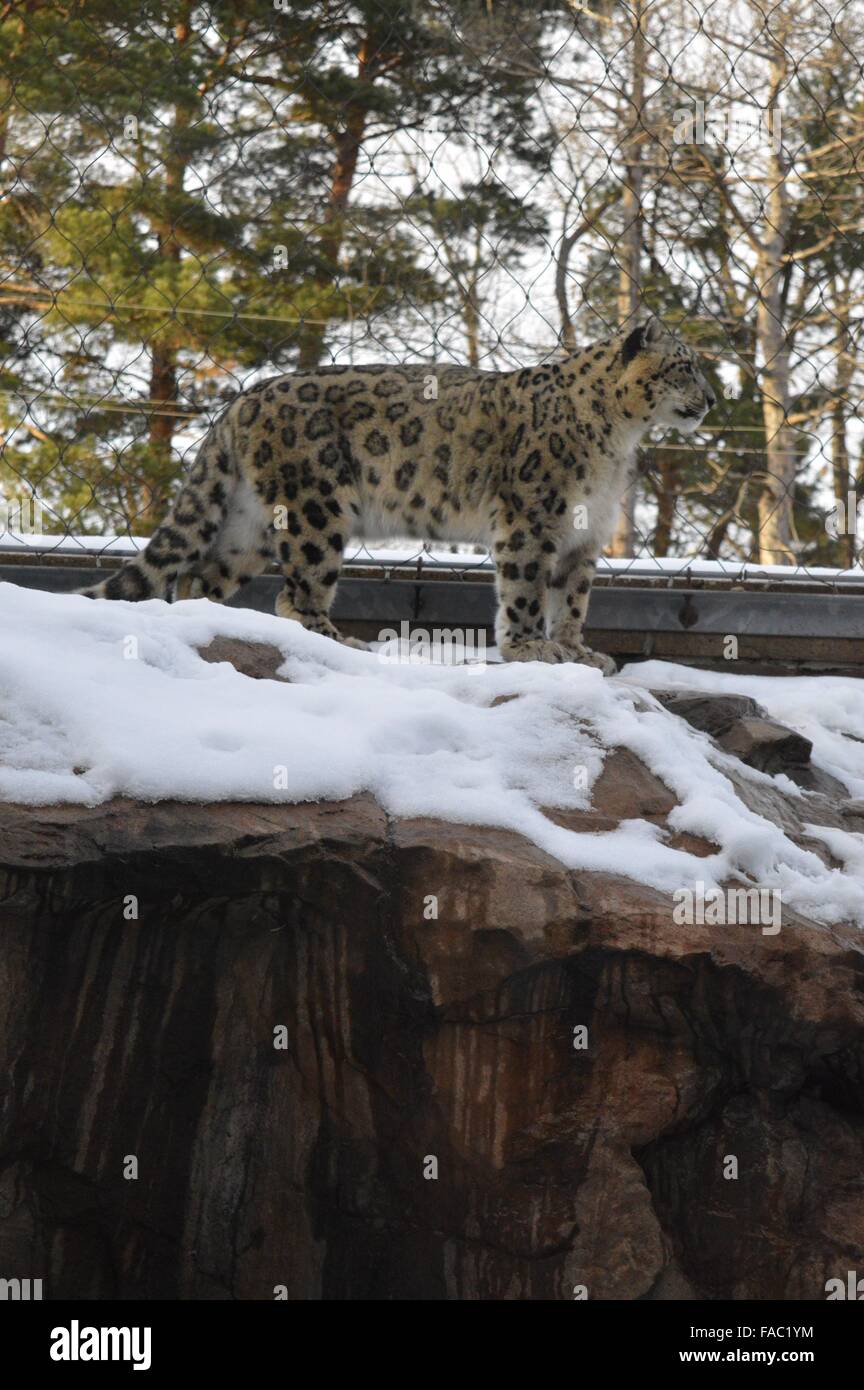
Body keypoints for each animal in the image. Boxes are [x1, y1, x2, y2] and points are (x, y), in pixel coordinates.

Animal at [79, 317, 715, 671]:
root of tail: (241, 400)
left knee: (198, 576)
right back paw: (343, 642)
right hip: (316, 506)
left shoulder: (584, 534)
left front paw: (579, 651)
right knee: (297, 593)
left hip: (249, 524)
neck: (621, 438)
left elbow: (574, 600)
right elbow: (527, 591)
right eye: (684, 366)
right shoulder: (532, 522)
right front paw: (530, 648)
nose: (712, 399)